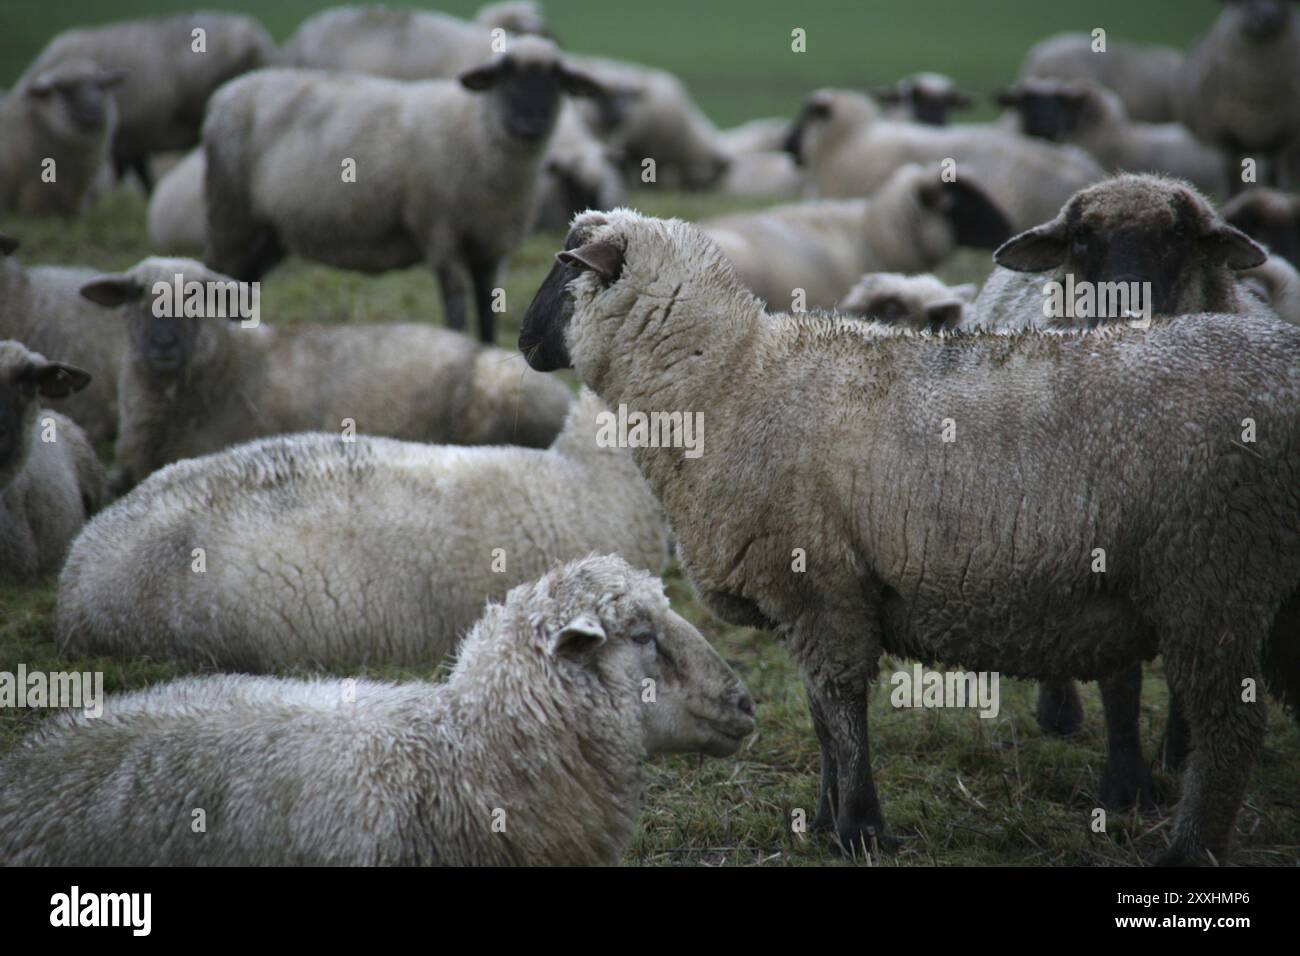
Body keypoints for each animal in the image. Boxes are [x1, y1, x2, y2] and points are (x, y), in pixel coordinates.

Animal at [20, 12, 275, 192]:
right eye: (64, 91)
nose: (93, 112)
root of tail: (258, 37)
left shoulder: (129, 136)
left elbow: (136, 175)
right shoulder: (130, 138)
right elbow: (135, 173)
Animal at [202, 38, 604, 343]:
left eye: (556, 82)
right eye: (505, 79)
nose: (532, 124)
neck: (479, 131)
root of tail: (228, 91)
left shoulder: (491, 244)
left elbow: (489, 308)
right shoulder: (440, 232)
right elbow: (455, 306)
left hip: (272, 229)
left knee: (247, 278)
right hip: (229, 214)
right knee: (219, 276)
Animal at [1180, 0, 1300, 193]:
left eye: (1286, 3)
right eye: (1243, 3)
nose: (1269, 16)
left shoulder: (1288, 136)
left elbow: (1283, 177)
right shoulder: (1225, 134)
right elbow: (1232, 178)